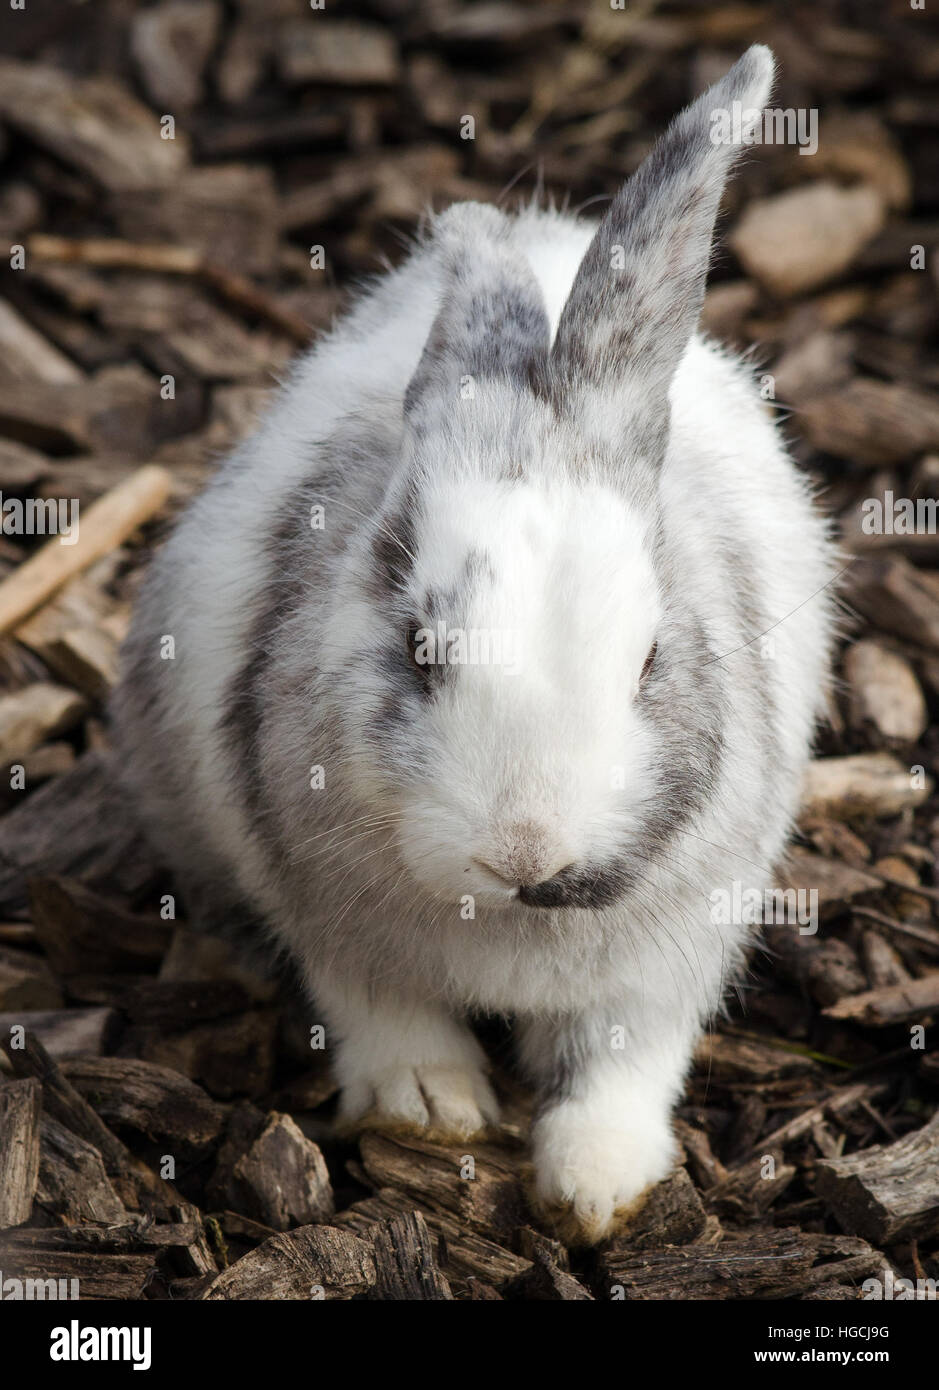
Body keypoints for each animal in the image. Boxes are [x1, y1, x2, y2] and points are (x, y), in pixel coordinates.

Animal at [111, 43, 836, 1245]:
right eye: (420, 650)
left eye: (649, 660)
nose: (525, 850)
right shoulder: (332, 923)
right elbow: (384, 1010)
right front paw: (429, 1110)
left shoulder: (674, 953)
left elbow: (624, 1061)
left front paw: (596, 1185)